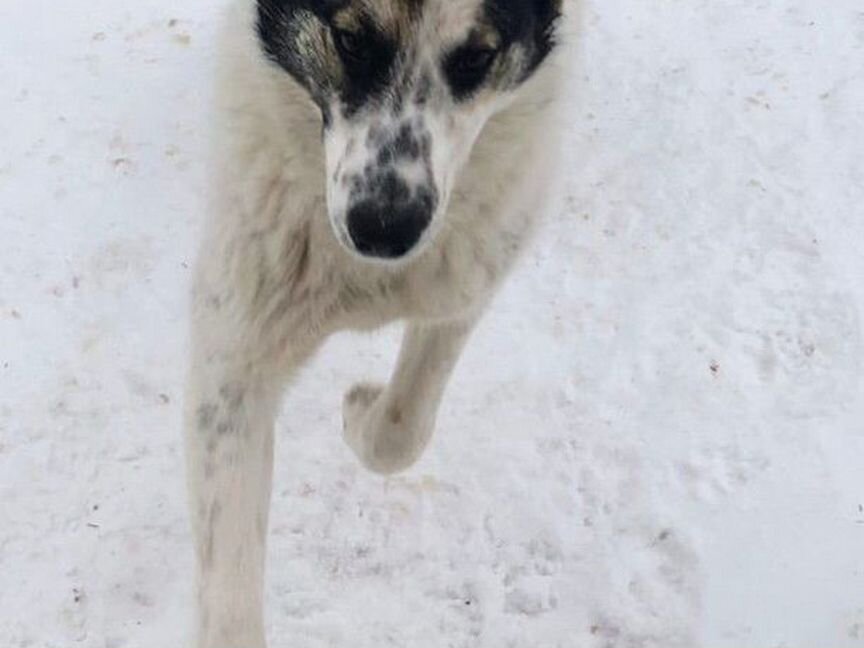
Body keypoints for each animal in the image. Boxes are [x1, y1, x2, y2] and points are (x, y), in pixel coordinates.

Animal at [182, 1, 572, 644]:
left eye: (476, 57)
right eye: (351, 41)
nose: (386, 229)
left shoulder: (465, 283)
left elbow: (402, 430)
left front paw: (359, 407)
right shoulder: (234, 363)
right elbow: (229, 596)